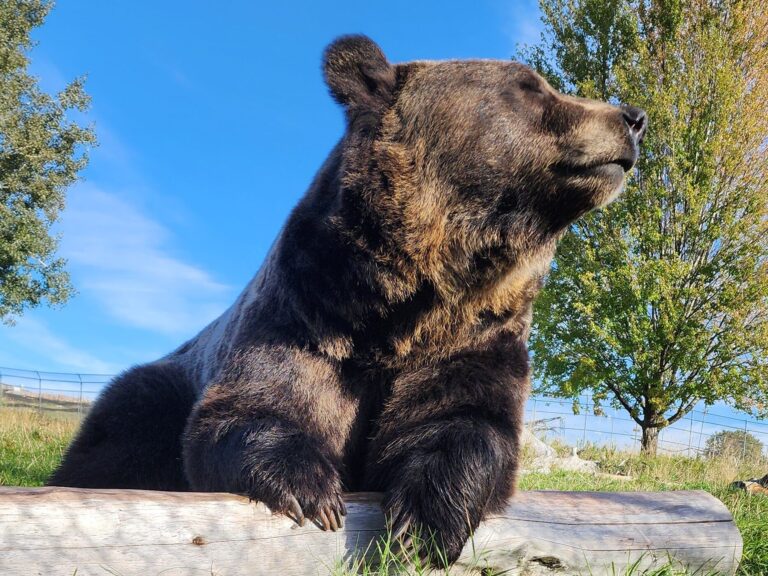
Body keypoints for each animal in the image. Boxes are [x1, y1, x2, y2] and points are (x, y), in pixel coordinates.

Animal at [49, 35, 646, 564]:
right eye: (531, 88)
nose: (632, 117)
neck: (411, 296)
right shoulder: (309, 311)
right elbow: (254, 407)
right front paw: (312, 492)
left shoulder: (479, 332)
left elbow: (465, 422)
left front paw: (423, 527)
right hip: (157, 386)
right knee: (121, 429)